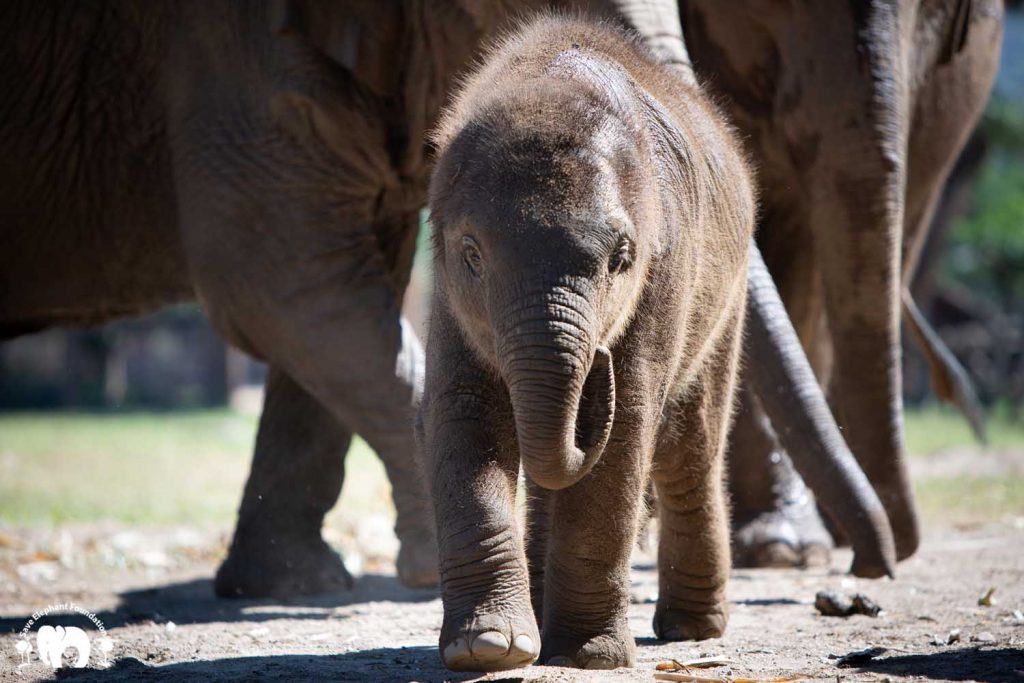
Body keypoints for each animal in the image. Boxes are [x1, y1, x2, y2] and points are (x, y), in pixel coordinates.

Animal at [420, 16, 896, 672]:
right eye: (471, 254)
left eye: (622, 259)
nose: (597, 360)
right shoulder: (447, 296)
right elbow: (465, 415)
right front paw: (490, 648)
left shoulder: (665, 274)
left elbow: (625, 432)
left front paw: (586, 658)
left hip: (724, 307)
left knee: (686, 446)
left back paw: (691, 629)